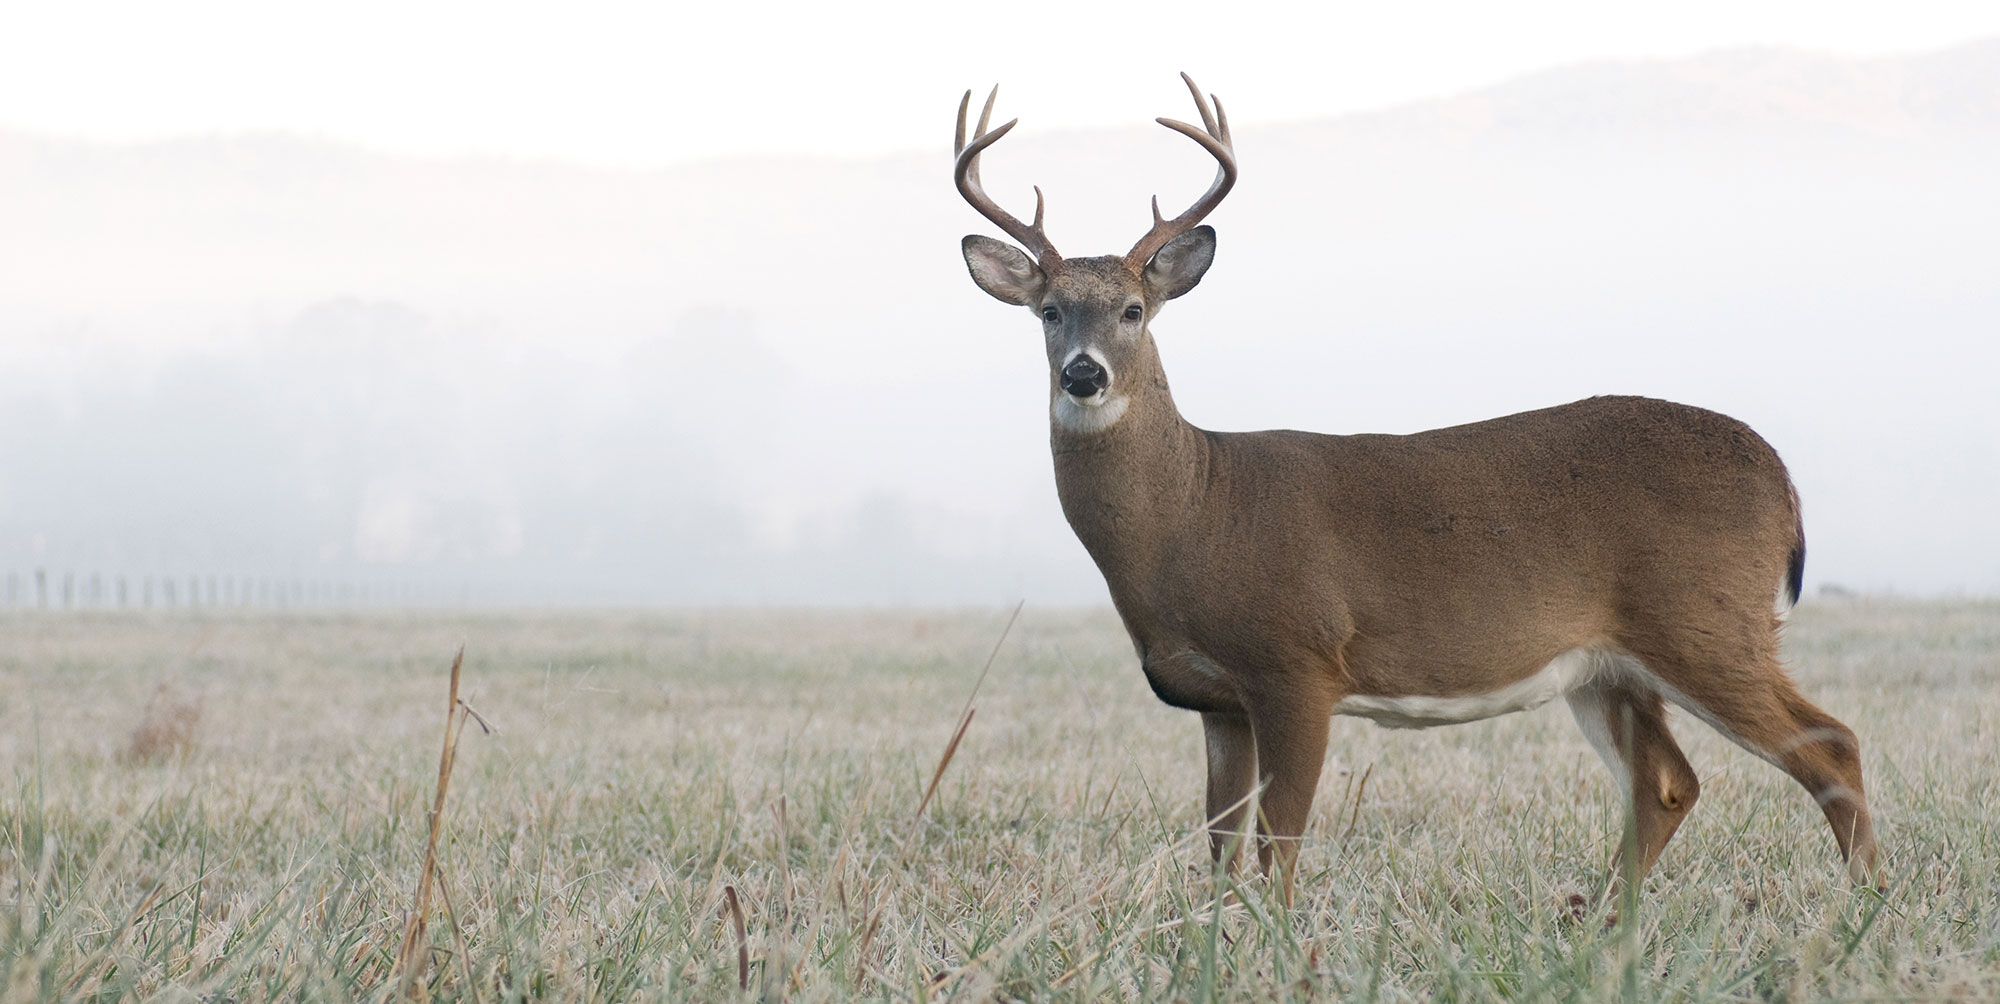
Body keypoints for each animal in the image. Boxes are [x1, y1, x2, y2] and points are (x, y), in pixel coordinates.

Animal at [952, 75, 1881, 904]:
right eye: (1049, 312)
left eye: (1135, 309)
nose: (1083, 374)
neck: (1192, 514)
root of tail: (1782, 477)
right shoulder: (1216, 699)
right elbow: (1219, 848)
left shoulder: (1297, 662)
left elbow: (1279, 846)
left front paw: (1276, 947)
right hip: (1608, 664)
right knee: (1668, 782)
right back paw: (1604, 924)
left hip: (1705, 621)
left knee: (1831, 744)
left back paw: (1864, 905)